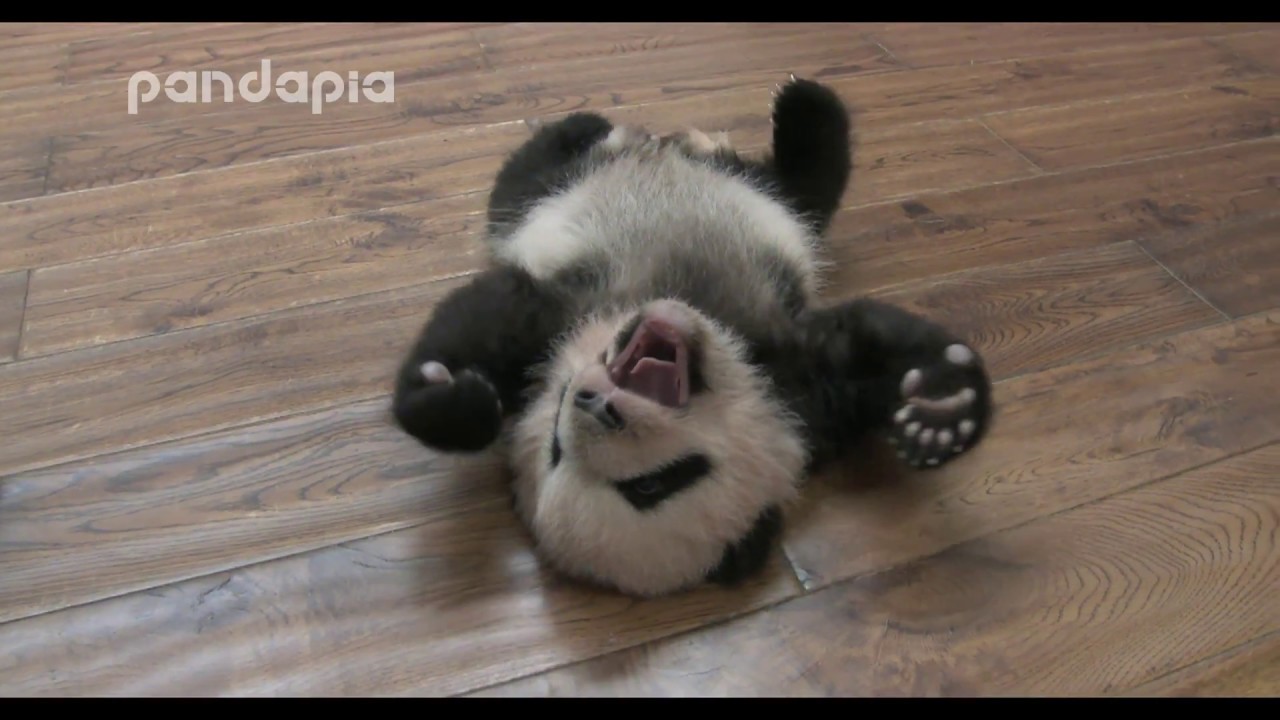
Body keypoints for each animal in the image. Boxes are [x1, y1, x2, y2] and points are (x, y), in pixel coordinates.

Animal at [391, 77, 994, 598]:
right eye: (556, 452)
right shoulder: (569, 311)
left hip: (755, 196)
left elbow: (866, 343)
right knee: (529, 172)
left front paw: (940, 413)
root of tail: (665, 147)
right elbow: (497, 311)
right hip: (548, 193)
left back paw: (795, 104)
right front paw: (459, 400)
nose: (592, 403)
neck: (691, 308)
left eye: (654, 485)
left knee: (805, 180)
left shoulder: (794, 382)